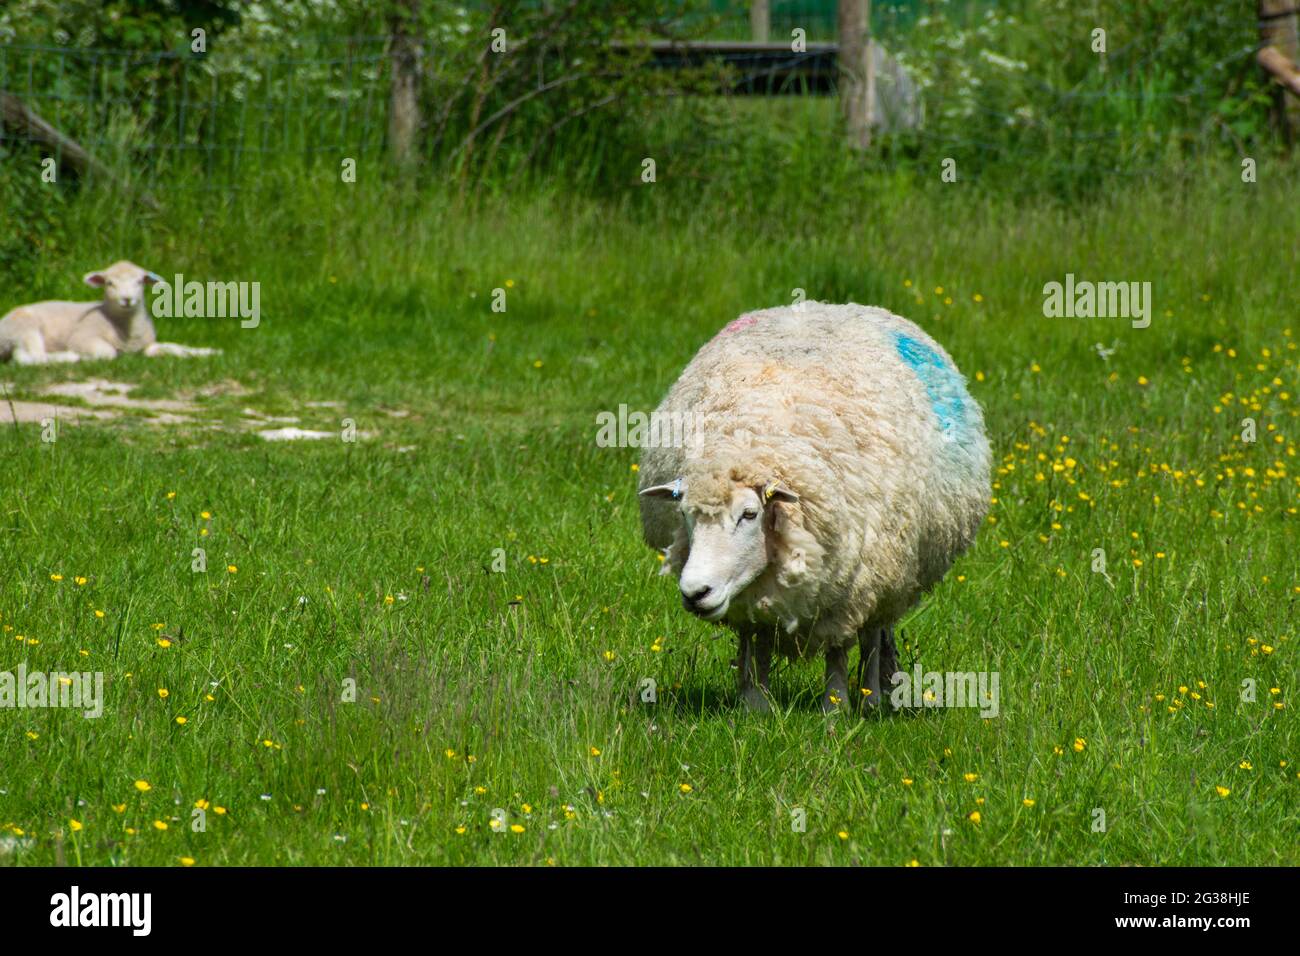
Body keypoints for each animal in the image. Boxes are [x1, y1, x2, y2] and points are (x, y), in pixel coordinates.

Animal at [0, 260, 219, 365]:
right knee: (29, 358)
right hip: (24, 329)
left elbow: (175, 348)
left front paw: (209, 352)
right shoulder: (83, 338)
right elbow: (108, 353)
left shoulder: (147, 346)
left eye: (139, 281)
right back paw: (71, 358)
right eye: (109, 283)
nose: (127, 299)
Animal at [638, 301, 990, 714]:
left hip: (884, 566)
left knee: (873, 634)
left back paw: (870, 699)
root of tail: (835, 304)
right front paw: (754, 706)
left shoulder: (846, 592)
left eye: (750, 514)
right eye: (683, 515)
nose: (696, 592)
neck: (750, 438)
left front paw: (833, 710)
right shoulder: (752, 595)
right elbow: (755, 640)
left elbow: (838, 650)